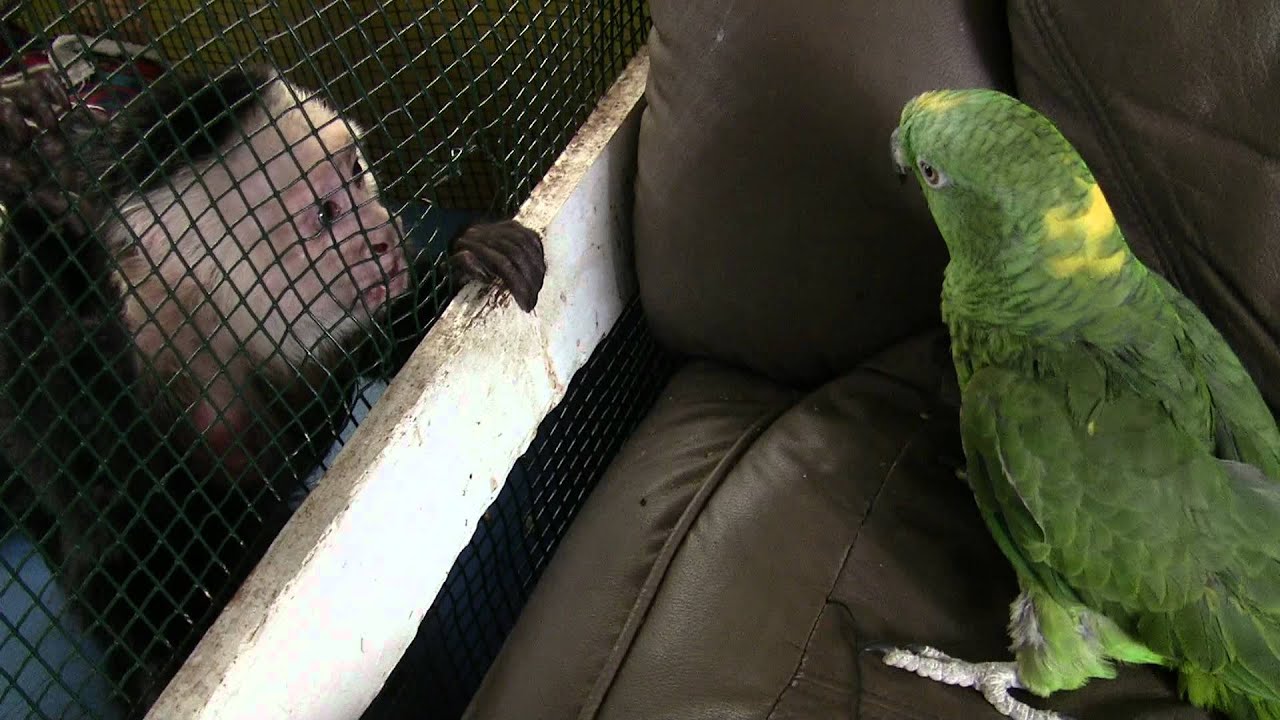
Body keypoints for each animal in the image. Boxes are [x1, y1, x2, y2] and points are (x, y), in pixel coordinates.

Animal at [0, 64, 545, 716]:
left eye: (354, 173)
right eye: (326, 214)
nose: (383, 236)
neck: (211, 319)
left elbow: (395, 332)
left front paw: (470, 252)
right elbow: (129, 548)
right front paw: (50, 240)